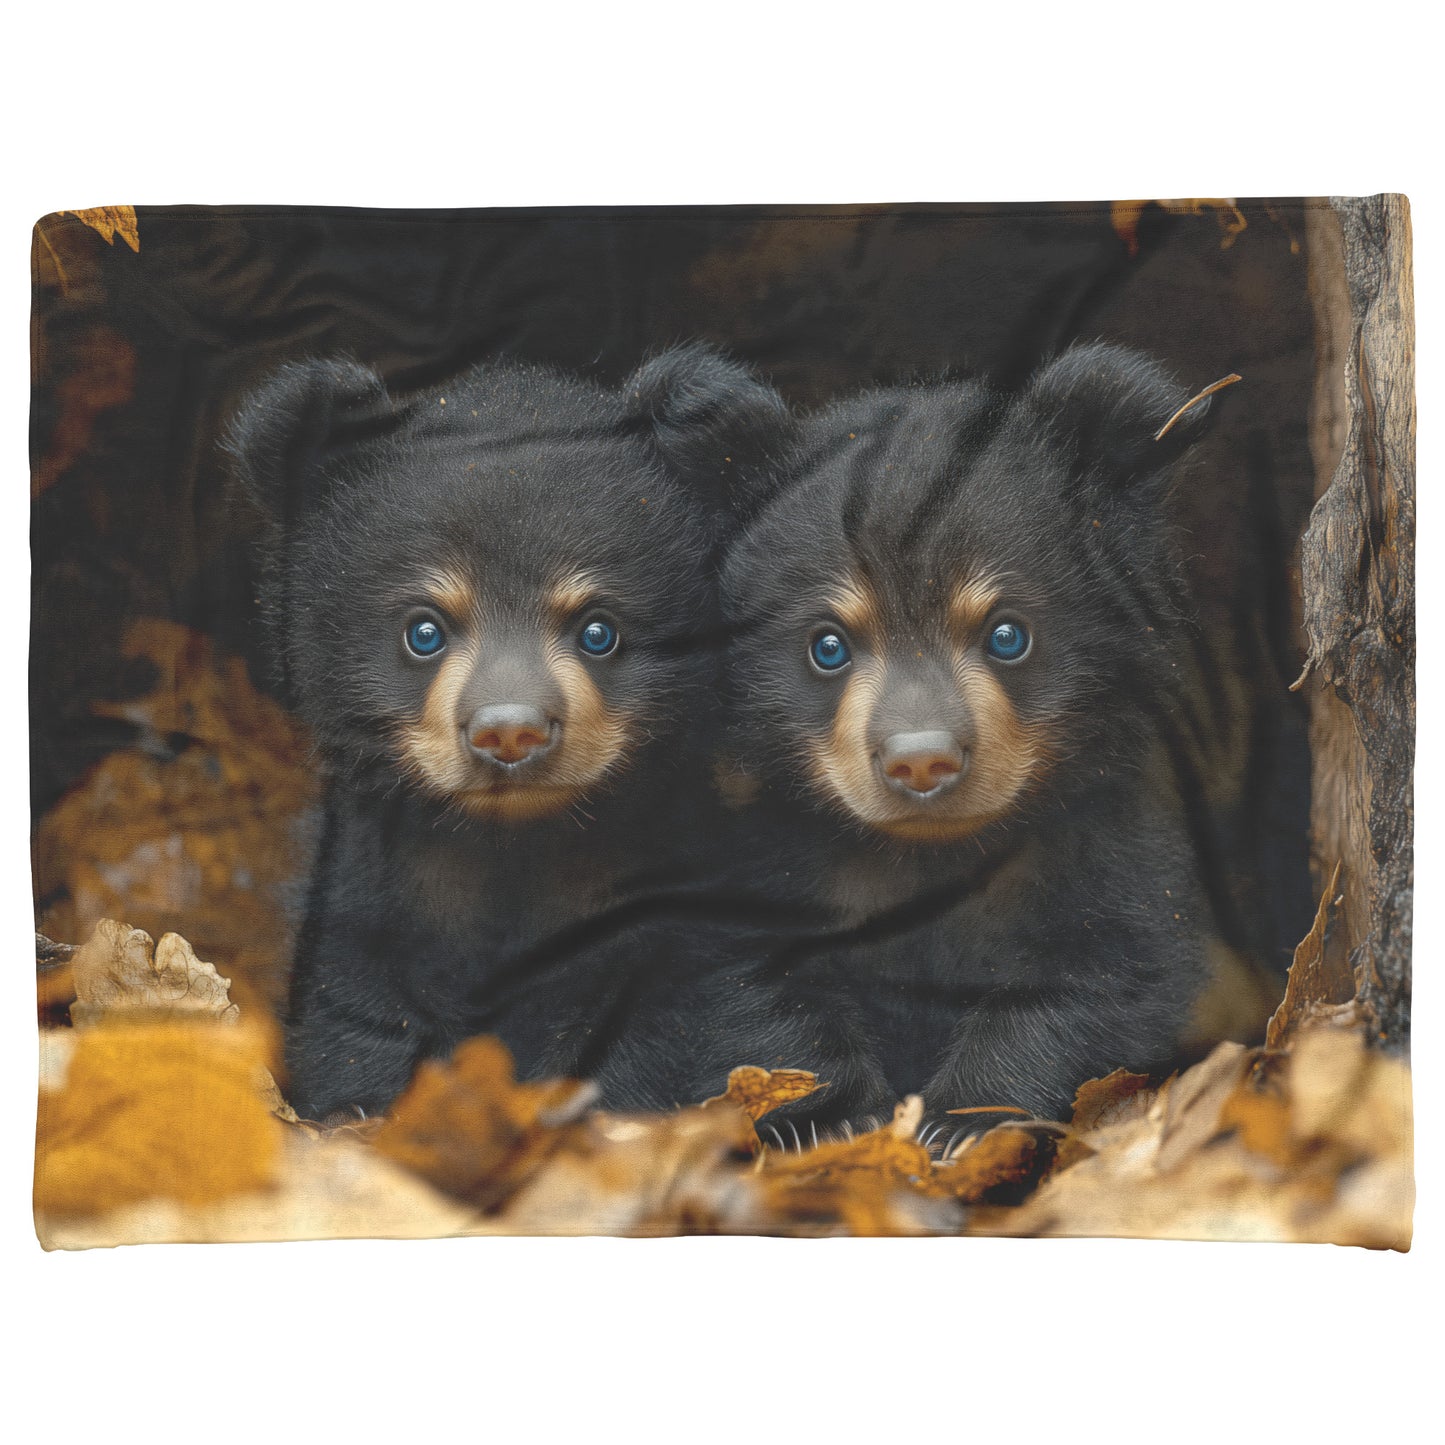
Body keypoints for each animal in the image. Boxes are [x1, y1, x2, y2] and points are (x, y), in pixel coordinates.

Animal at [227, 344, 807, 1120]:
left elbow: (688, 1034)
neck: (510, 851)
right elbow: (355, 1034)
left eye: (598, 630)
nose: (509, 733)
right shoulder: (362, 914)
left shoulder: (686, 929)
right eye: (424, 630)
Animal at [719, 342, 1238, 1147]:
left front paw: (956, 1129)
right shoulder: (760, 843)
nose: (921, 760)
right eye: (827, 645)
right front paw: (836, 1126)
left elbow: (1108, 971)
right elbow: (750, 979)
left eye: (1006, 634)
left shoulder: (1109, 835)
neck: (928, 853)